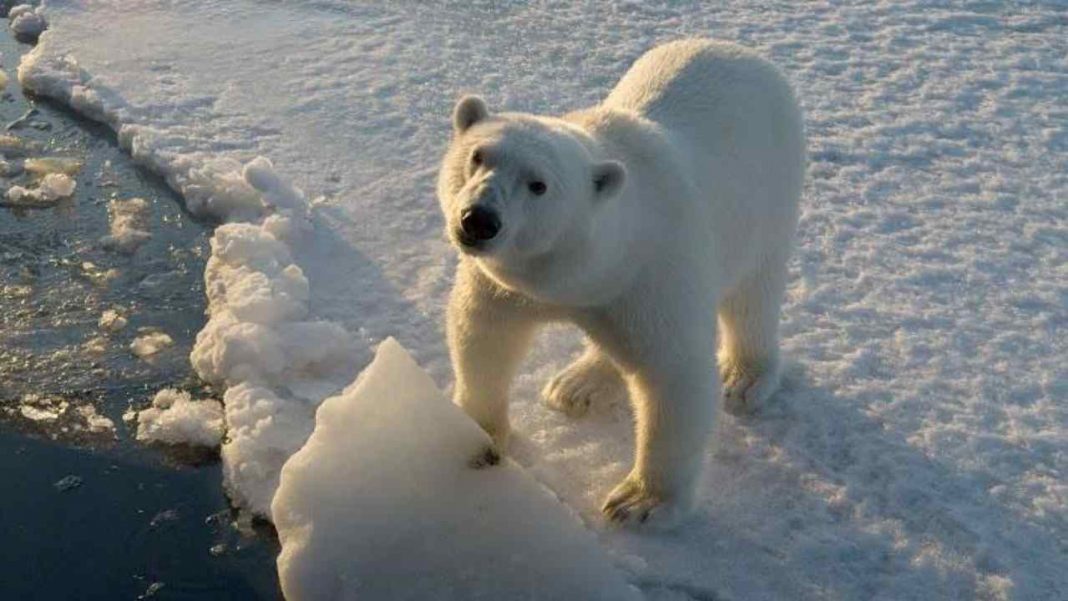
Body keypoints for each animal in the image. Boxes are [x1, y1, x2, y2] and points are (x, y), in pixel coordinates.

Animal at [437, 39, 805, 528]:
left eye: (538, 185)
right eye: (478, 156)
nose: (478, 219)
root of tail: (742, 52)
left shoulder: (653, 275)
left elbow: (675, 375)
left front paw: (640, 502)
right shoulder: (509, 286)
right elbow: (483, 335)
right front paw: (474, 429)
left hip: (768, 194)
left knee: (752, 294)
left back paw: (745, 377)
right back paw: (577, 384)